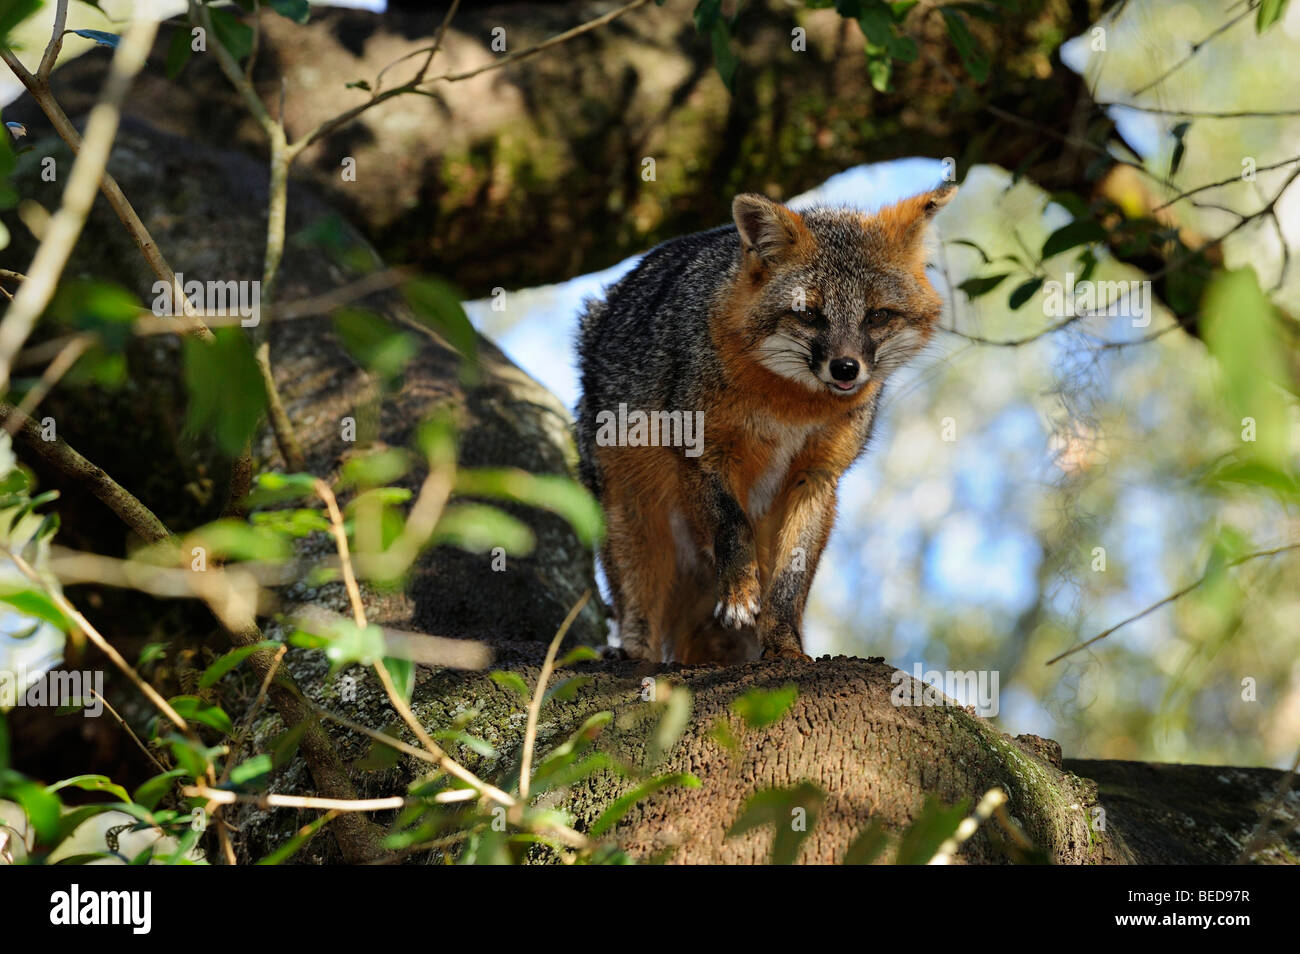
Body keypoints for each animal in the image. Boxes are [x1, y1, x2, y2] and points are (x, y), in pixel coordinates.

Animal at [576, 182, 956, 664]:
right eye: (809, 314)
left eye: (877, 316)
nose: (846, 369)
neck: (790, 408)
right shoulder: (703, 453)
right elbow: (731, 525)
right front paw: (739, 592)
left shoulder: (817, 475)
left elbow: (790, 580)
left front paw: (785, 646)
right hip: (633, 519)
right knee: (639, 606)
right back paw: (633, 653)